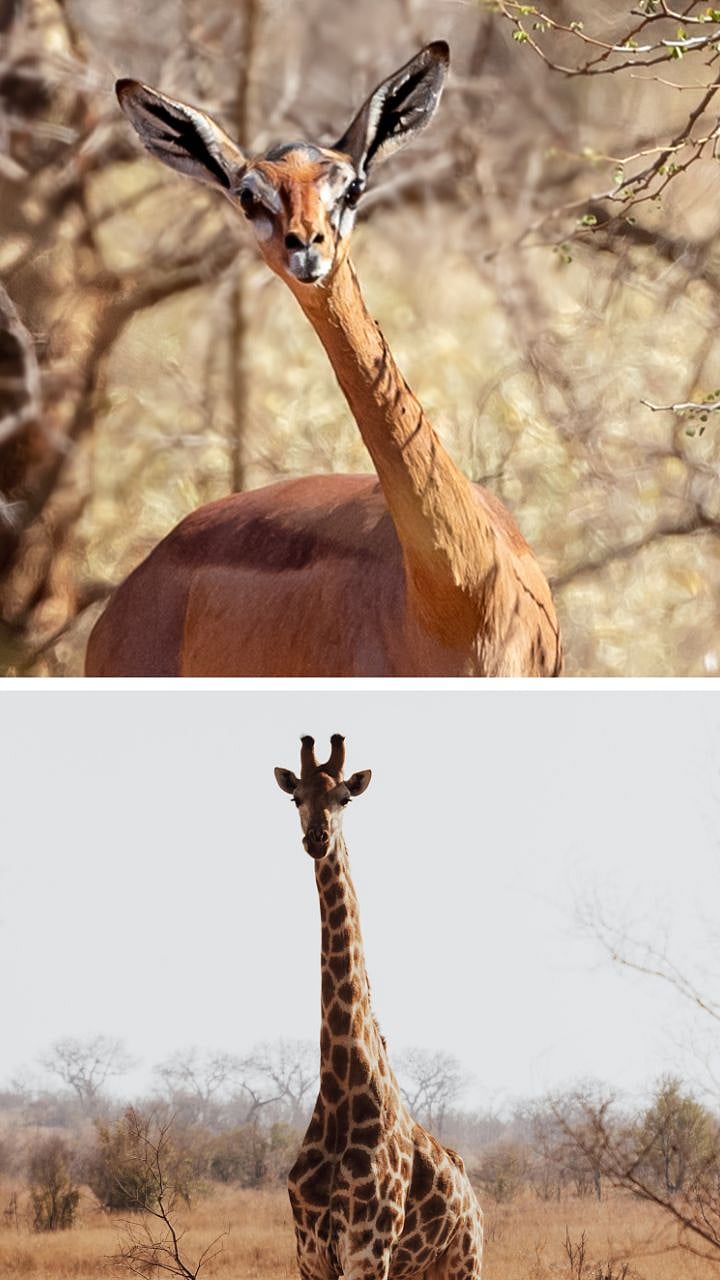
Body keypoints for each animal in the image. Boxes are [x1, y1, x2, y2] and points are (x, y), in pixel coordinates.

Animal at [274, 734, 484, 1280]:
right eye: (296, 797)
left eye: (345, 797)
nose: (317, 839)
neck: (341, 1090)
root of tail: (474, 1202)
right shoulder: (311, 1255)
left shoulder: (369, 1251)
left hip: (464, 1263)